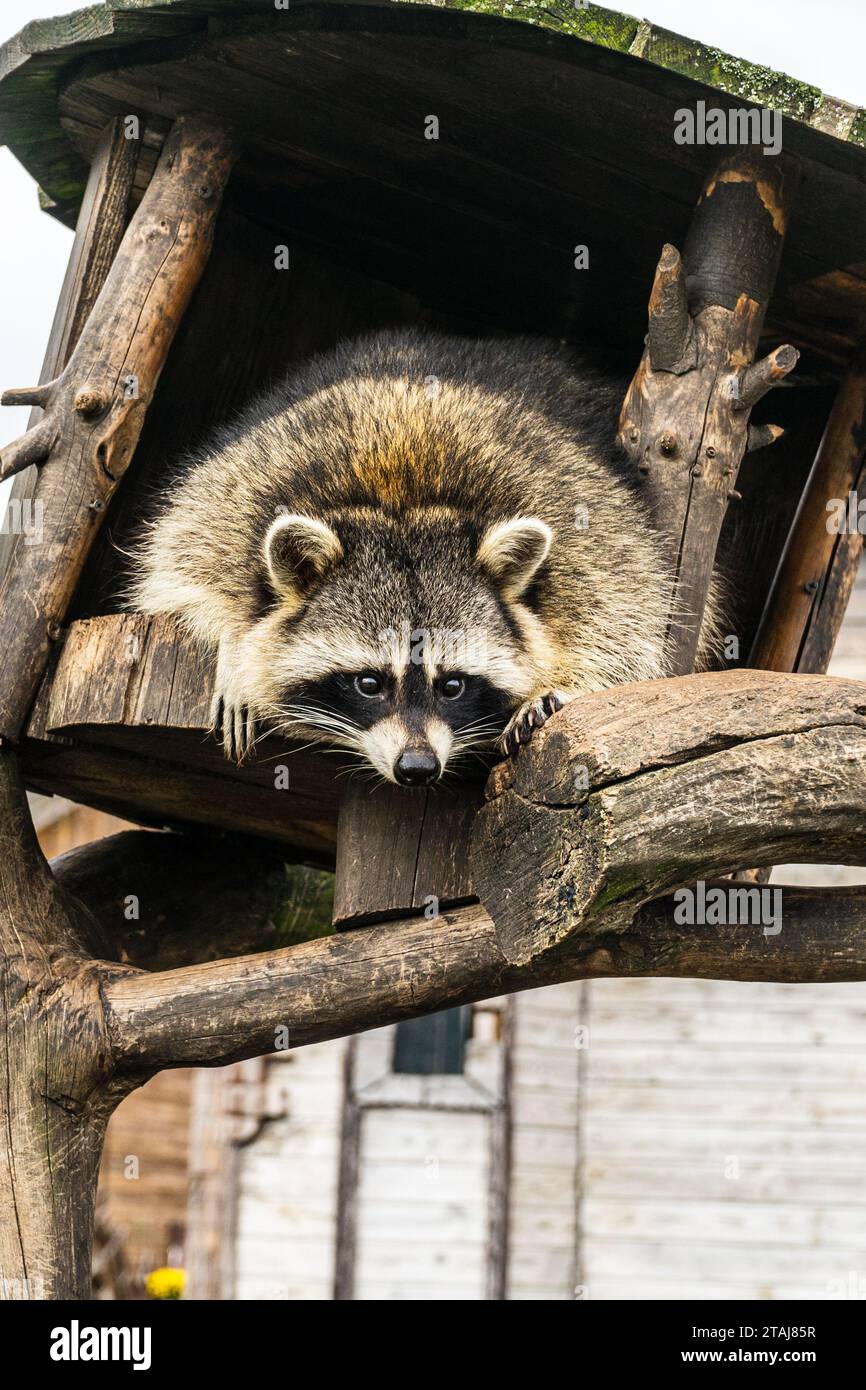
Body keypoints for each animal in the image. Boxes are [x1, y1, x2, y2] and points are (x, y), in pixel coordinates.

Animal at [129, 328, 713, 785]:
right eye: (369, 683)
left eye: (452, 685)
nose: (417, 768)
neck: (404, 504)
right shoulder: (244, 489)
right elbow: (180, 558)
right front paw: (233, 648)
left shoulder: (588, 529)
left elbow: (629, 617)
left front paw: (562, 686)